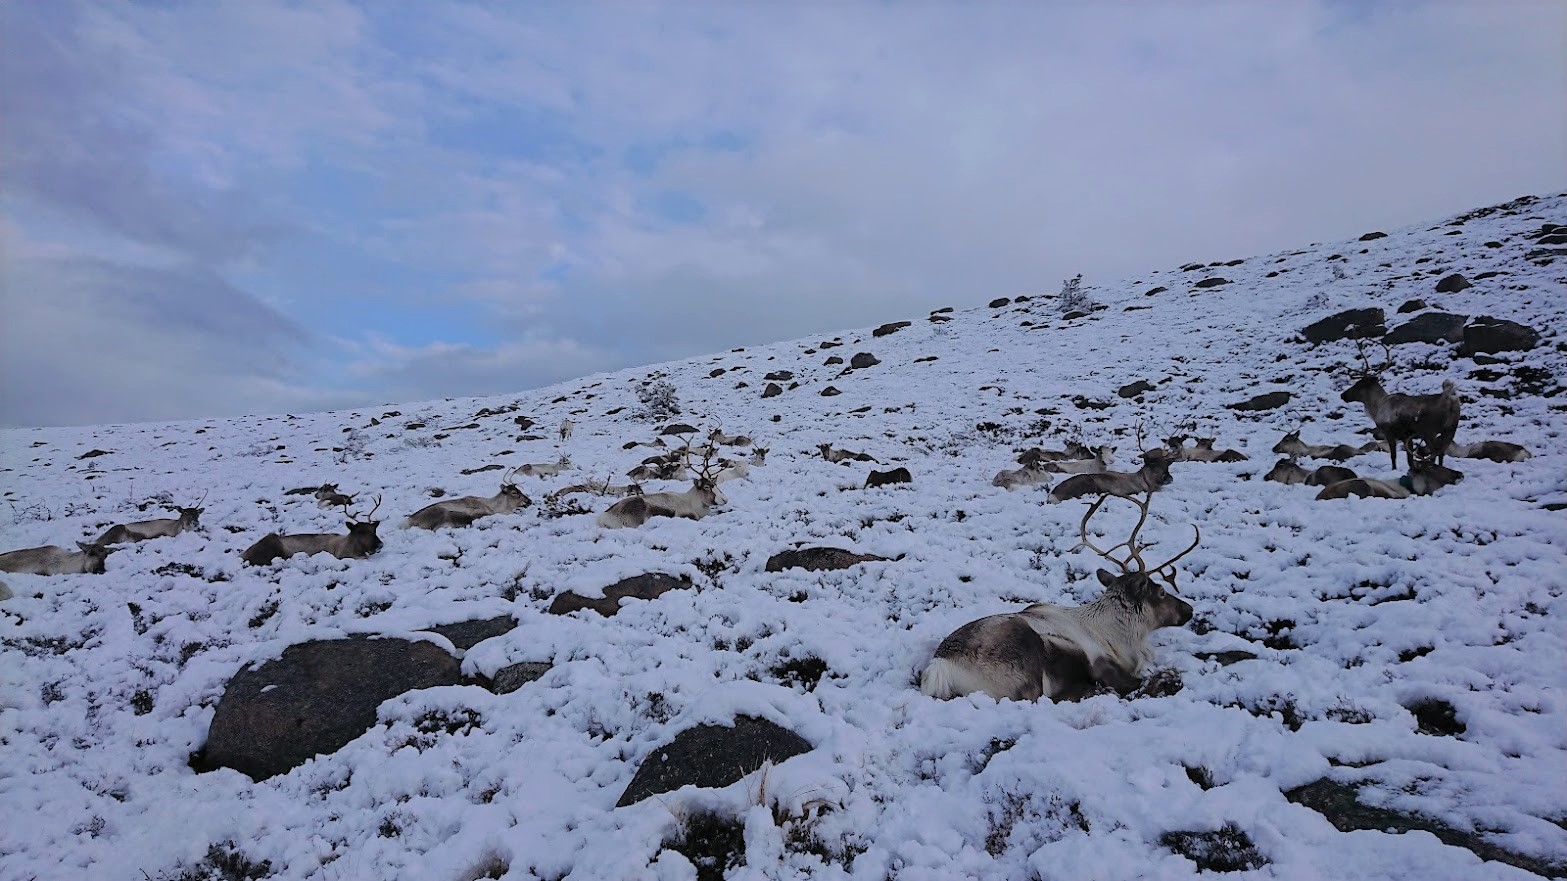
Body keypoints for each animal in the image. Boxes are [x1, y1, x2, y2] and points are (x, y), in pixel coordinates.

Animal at [404, 469, 532, 530]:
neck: (493, 506)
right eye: (514, 492)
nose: (529, 501)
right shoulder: (478, 512)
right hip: (442, 514)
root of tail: (408, 521)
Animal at [598, 448, 727, 529]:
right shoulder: (686, 514)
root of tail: (602, 518)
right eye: (706, 486)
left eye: (715, 484)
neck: (692, 502)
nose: (725, 499)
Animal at [921, 492, 1197, 702]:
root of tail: (939, 668)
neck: (1121, 637)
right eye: (1161, 591)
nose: (1189, 609)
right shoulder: (1102, 664)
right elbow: (1136, 682)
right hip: (1026, 658)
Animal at [1339, 341, 1461, 470]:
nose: (1343, 395)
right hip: (1451, 430)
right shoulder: (1407, 437)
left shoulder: (1389, 432)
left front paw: (1394, 469)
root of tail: (1451, 399)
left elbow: (1394, 456)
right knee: (1441, 452)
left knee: (1435, 451)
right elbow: (1410, 460)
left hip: (1430, 431)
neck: (1377, 407)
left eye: (1358, 384)